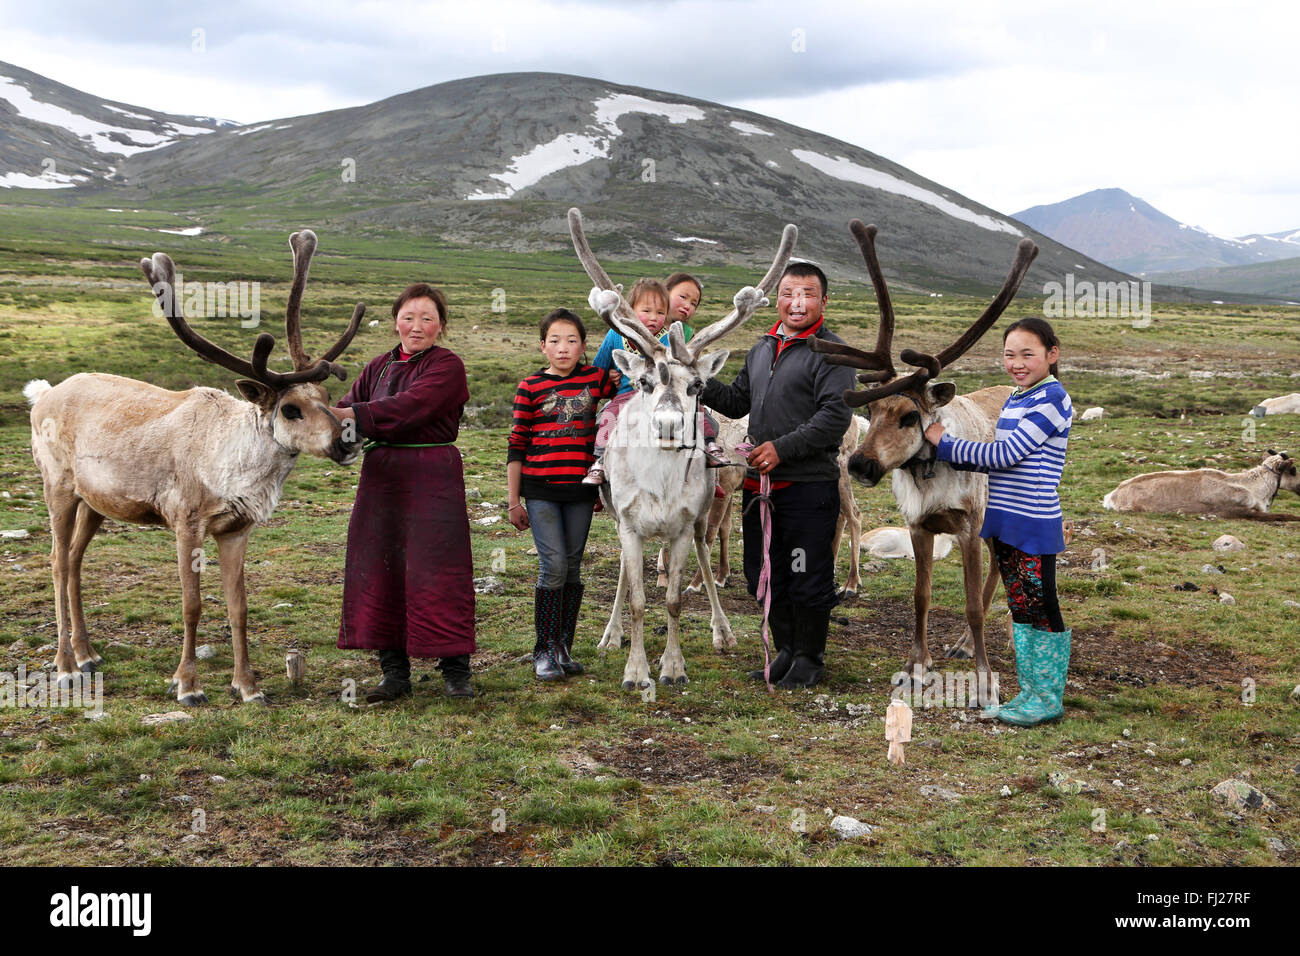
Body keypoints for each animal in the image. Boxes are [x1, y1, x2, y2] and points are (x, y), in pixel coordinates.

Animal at [25, 230, 364, 706]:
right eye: (291, 409)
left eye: (327, 396)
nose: (348, 439)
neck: (232, 468)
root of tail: (43, 395)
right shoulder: (186, 521)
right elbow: (192, 605)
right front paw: (187, 684)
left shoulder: (237, 528)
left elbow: (239, 606)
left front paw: (248, 686)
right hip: (56, 485)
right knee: (56, 561)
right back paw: (66, 667)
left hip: (95, 502)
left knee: (74, 560)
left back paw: (88, 653)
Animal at [568, 207, 796, 689]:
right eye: (643, 382)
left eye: (697, 386)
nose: (669, 424)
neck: (659, 484)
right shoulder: (630, 525)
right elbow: (637, 601)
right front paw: (636, 670)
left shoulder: (682, 527)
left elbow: (673, 601)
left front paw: (673, 667)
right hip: (617, 518)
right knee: (624, 573)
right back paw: (610, 635)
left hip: (704, 514)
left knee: (708, 559)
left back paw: (722, 630)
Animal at [809, 220, 1038, 708]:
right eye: (871, 410)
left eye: (909, 416)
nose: (859, 464)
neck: (931, 473)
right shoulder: (918, 525)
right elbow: (920, 596)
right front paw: (917, 666)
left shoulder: (968, 525)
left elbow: (972, 603)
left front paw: (985, 681)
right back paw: (964, 643)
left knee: (996, 574)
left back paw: (983, 642)